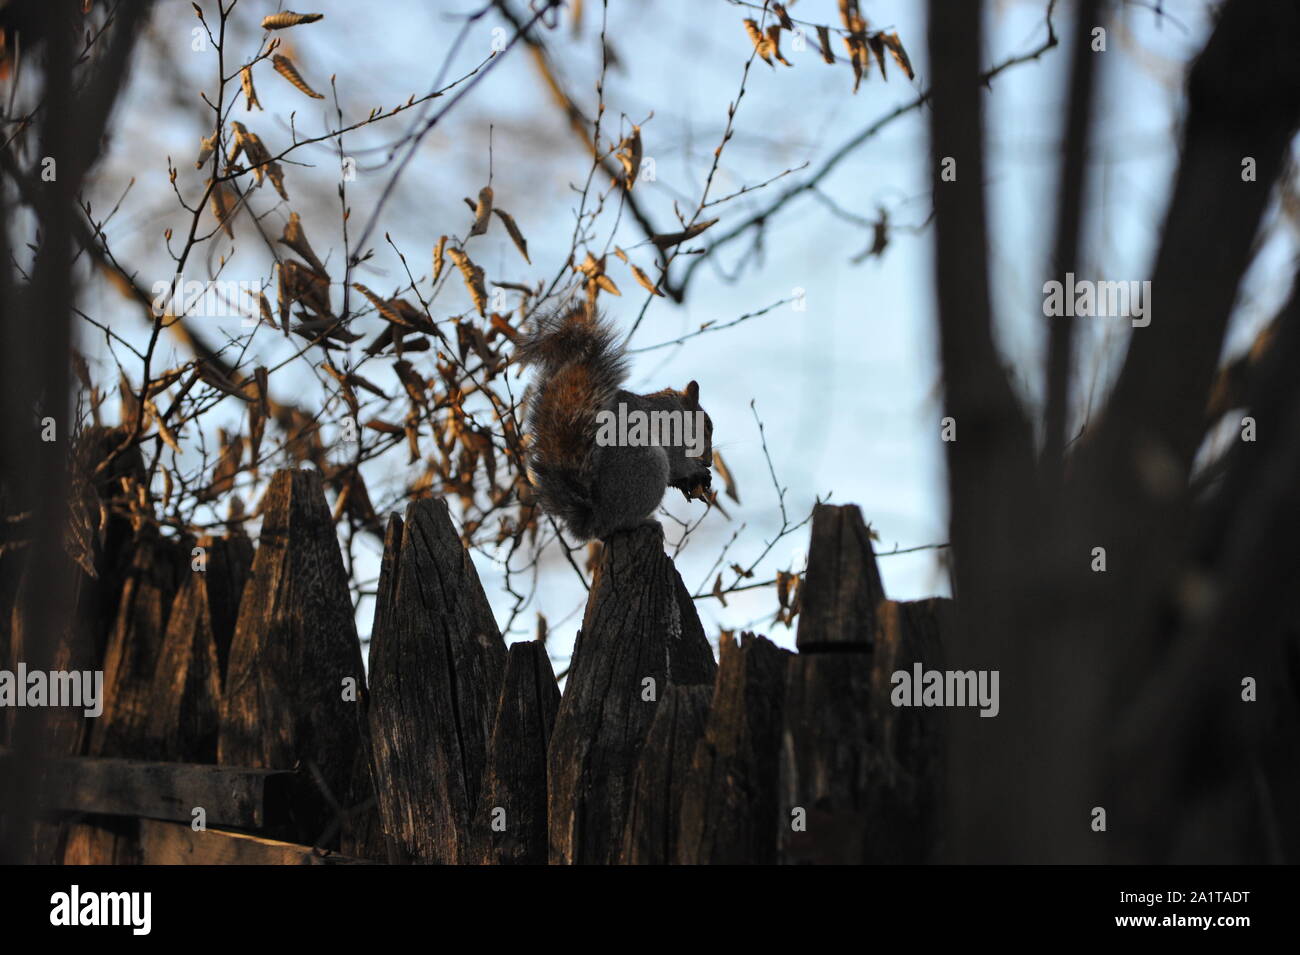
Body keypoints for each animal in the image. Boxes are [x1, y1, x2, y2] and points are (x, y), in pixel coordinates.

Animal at [517, 304, 713, 542]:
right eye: (707, 426)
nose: (709, 462)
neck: (678, 412)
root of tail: (594, 519)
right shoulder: (672, 434)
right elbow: (679, 462)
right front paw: (697, 471)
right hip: (647, 465)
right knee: (621, 523)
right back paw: (646, 522)